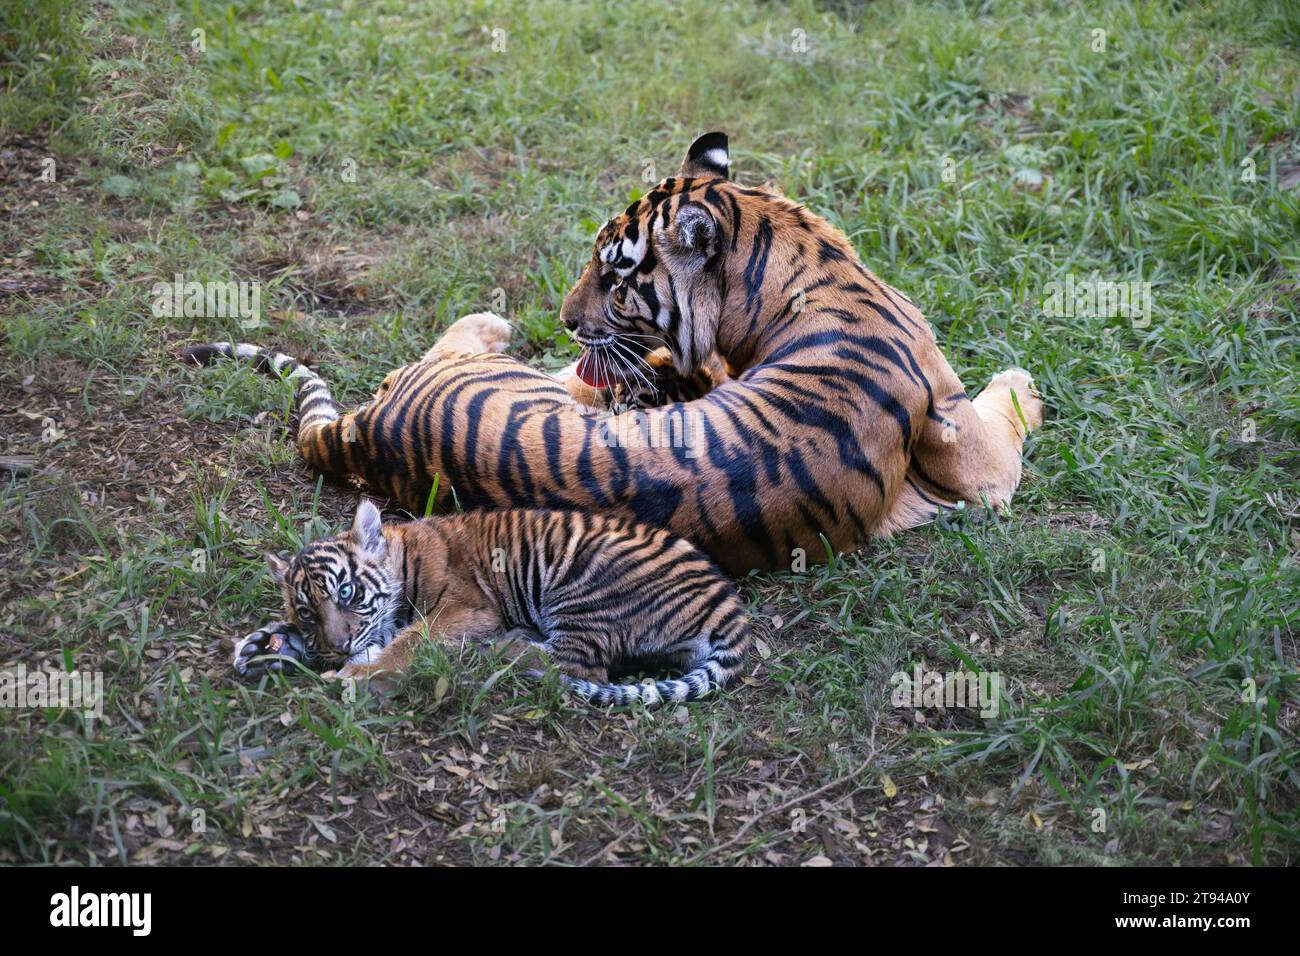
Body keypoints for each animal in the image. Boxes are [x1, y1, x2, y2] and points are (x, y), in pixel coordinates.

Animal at [181, 132, 1044, 575]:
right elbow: (1005, 406)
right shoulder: (976, 457)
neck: (800, 257)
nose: (566, 321)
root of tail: (367, 433)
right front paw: (1023, 379)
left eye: (614, 278)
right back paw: (498, 321)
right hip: (489, 366)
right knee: (471, 333)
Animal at [232, 499, 752, 704]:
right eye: (306, 612)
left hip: (583, 581)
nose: (338, 648)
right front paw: (264, 646)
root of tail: (727, 604)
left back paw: (499, 649)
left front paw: (360, 674)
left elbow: (412, 639)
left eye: (347, 592)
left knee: (578, 667)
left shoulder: (466, 609)